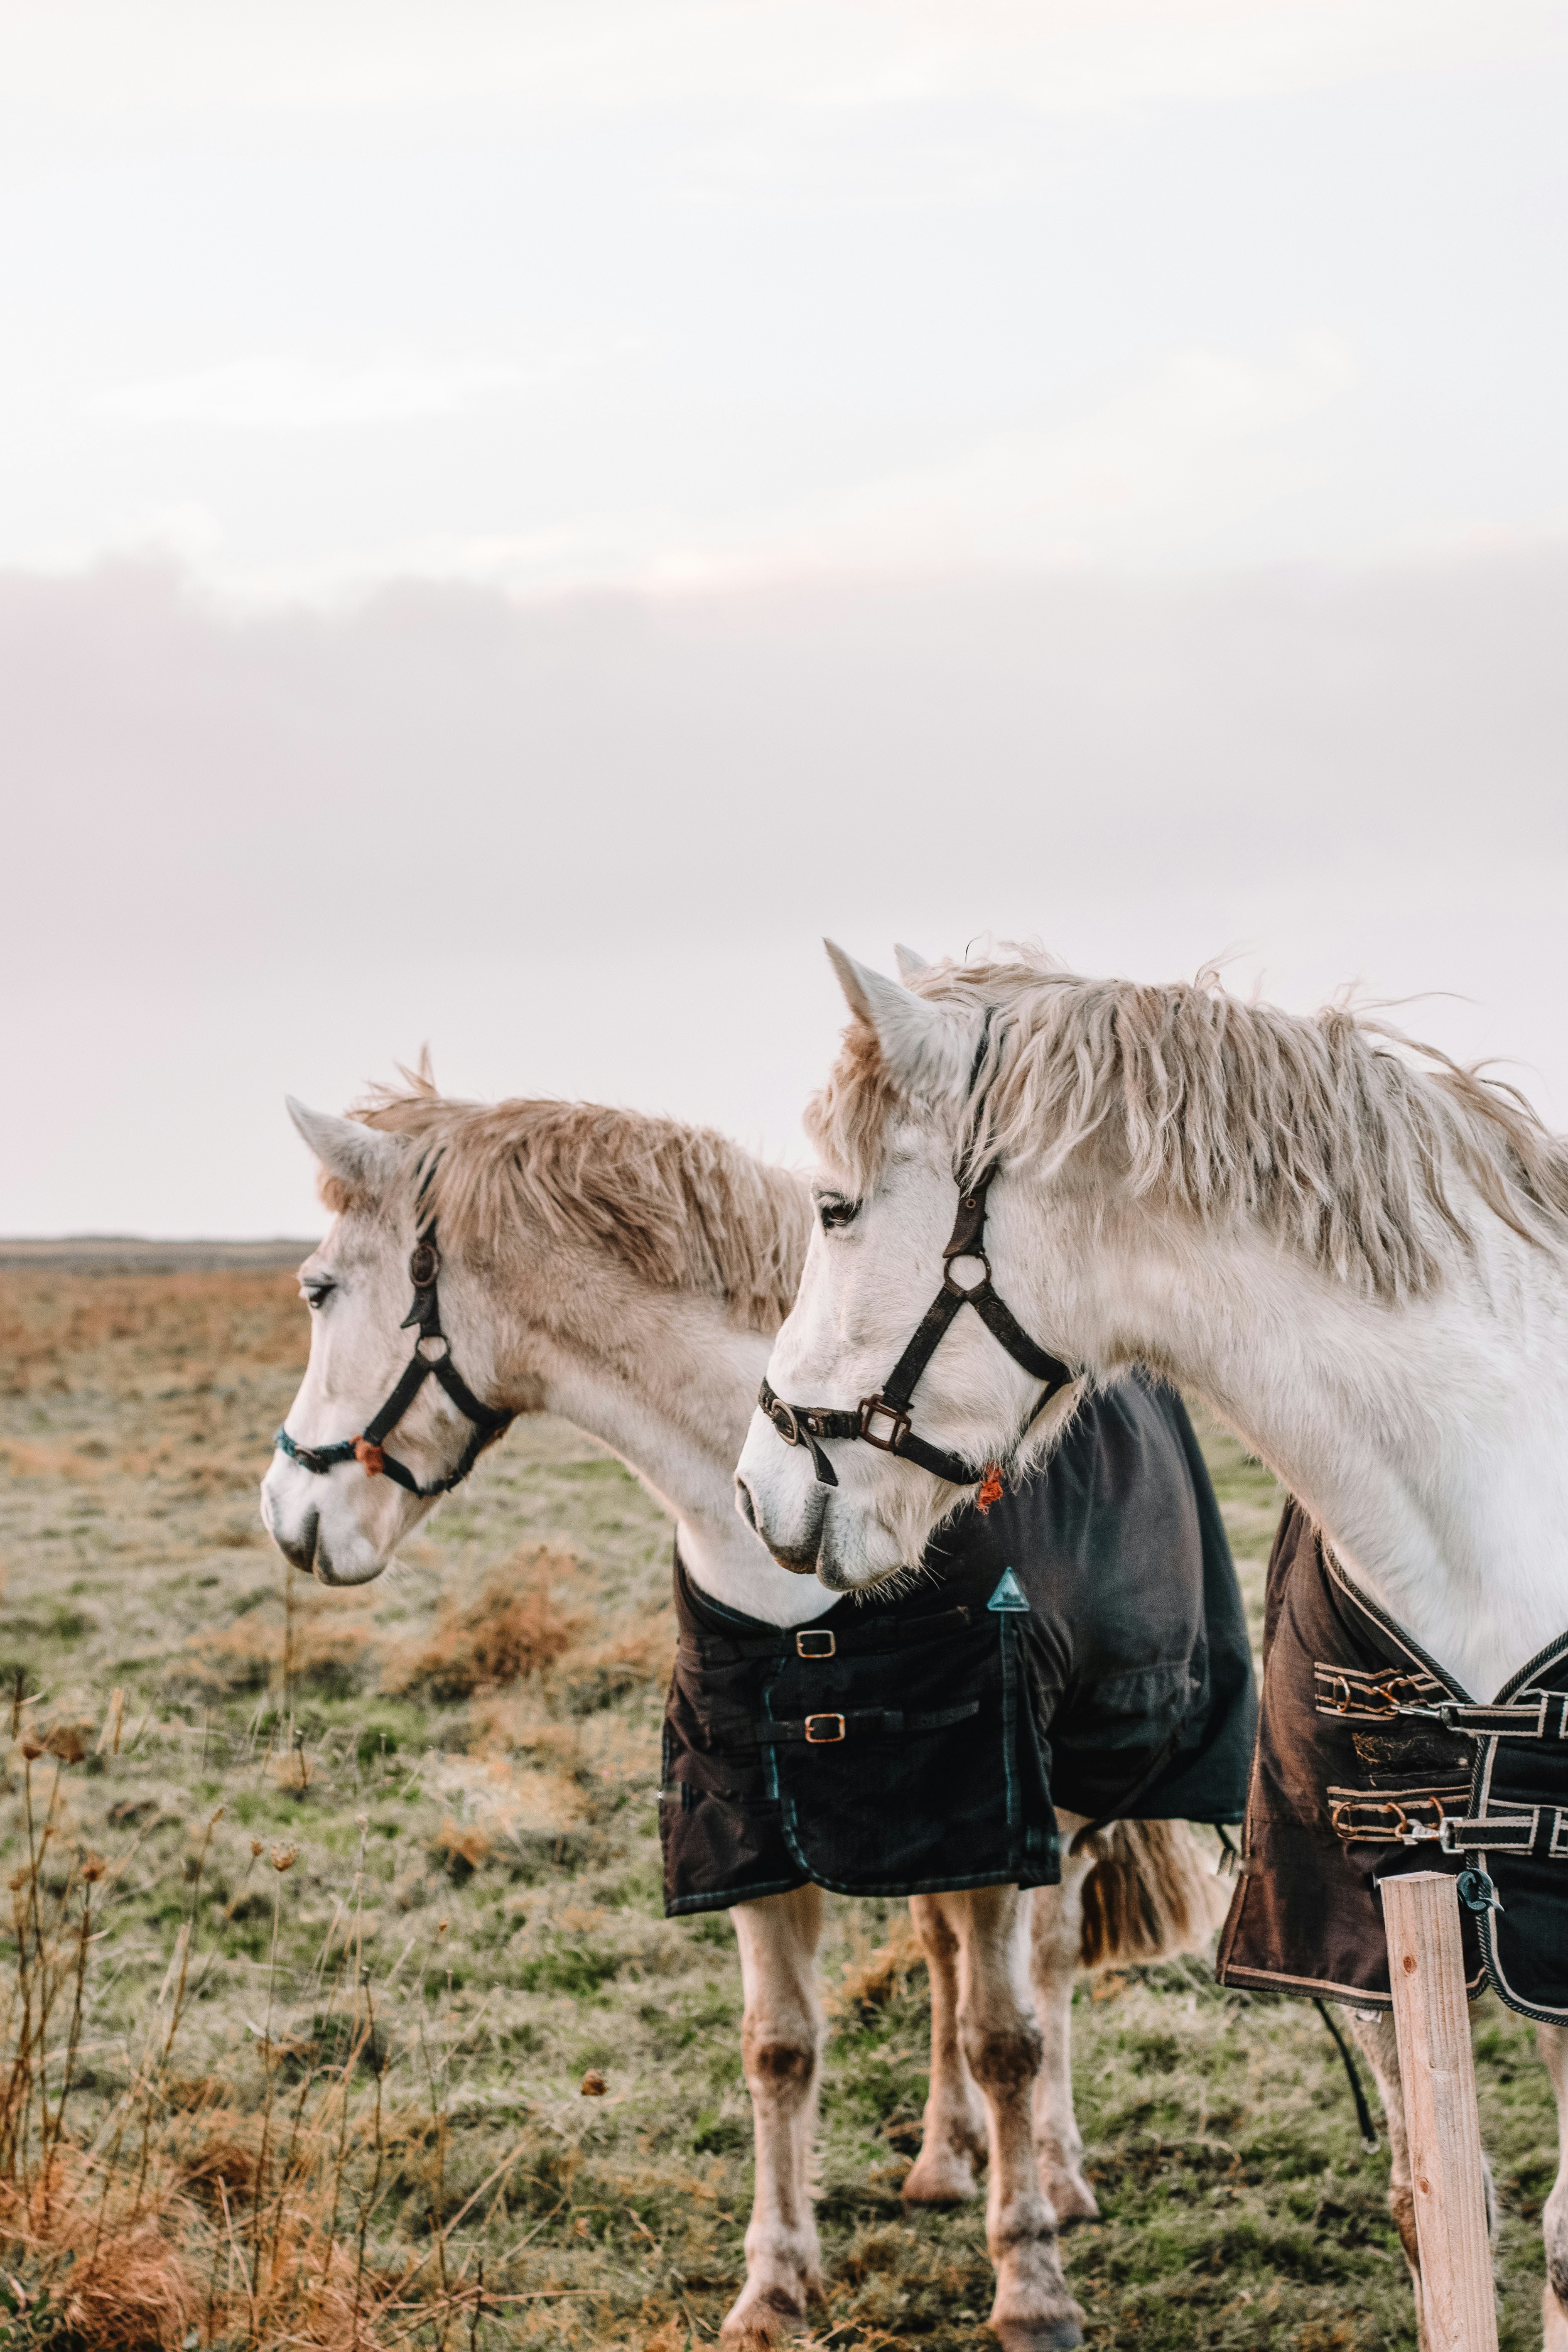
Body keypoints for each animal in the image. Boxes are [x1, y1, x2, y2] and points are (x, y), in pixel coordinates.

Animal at [260, 1072, 1236, 2351]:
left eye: (320, 1288)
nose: (284, 1510)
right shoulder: (760, 1823)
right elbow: (780, 2048)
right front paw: (773, 2283)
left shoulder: (988, 1808)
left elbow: (1007, 2039)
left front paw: (1030, 2285)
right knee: (939, 1956)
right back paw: (943, 2156)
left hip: (1066, 1800)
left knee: (1052, 1960)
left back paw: (1058, 2174)